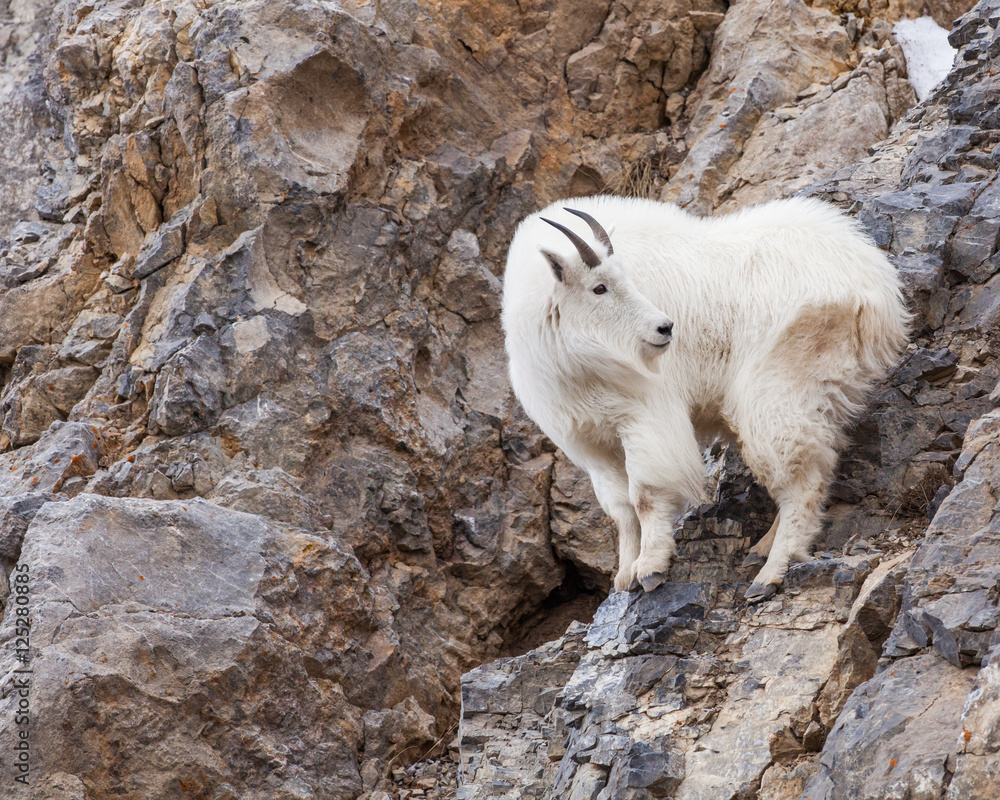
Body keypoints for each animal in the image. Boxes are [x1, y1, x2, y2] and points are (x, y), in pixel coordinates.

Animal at [502, 196, 908, 600]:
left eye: (624, 279)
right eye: (598, 288)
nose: (665, 328)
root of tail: (874, 282)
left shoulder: (646, 415)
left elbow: (645, 496)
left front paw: (650, 568)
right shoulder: (592, 442)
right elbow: (621, 509)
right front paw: (623, 576)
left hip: (776, 387)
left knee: (801, 477)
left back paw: (771, 572)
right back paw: (763, 549)